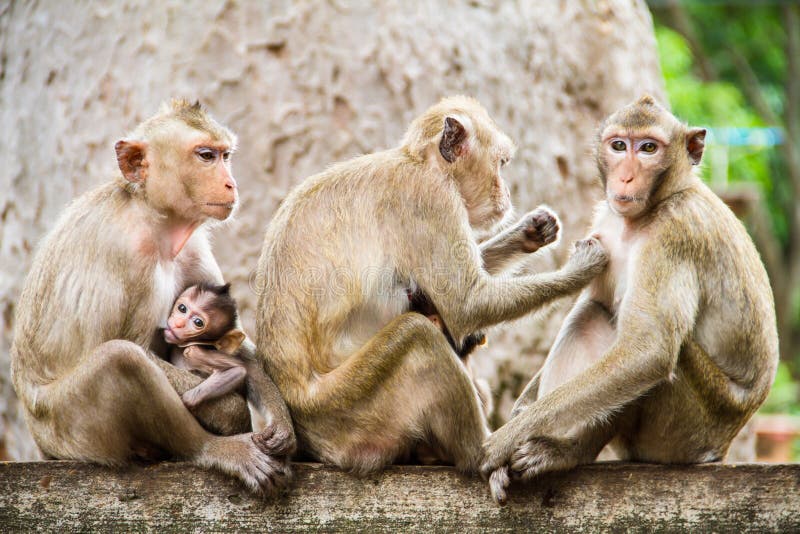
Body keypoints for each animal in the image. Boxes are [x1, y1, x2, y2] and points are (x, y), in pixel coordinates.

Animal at [11, 100, 295, 495]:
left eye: (225, 155)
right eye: (206, 156)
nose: (231, 183)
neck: (153, 215)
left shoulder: (190, 246)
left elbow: (232, 341)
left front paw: (281, 421)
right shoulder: (122, 249)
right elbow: (120, 346)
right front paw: (231, 412)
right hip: (68, 429)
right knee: (119, 359)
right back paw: (212, 449)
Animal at [253, 96, 608, 476]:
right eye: (500, 163)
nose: (507, 191)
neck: (423, 163)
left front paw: (531, 232)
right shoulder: (430, 200)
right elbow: (467, 304)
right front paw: (581, 269)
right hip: (348, 407)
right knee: (417, 335)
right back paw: (482, 452)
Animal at [481, 95, 779, 504]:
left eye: (649, 148)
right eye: (619, 145)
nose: (625, 177)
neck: (652, 208)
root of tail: (720, 448)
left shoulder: (674, 233)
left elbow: (648, 352)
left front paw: (505, 439)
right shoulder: (604, 220)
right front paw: (518, 415)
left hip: (685, 430)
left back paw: (566, 452)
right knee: (592, 312)